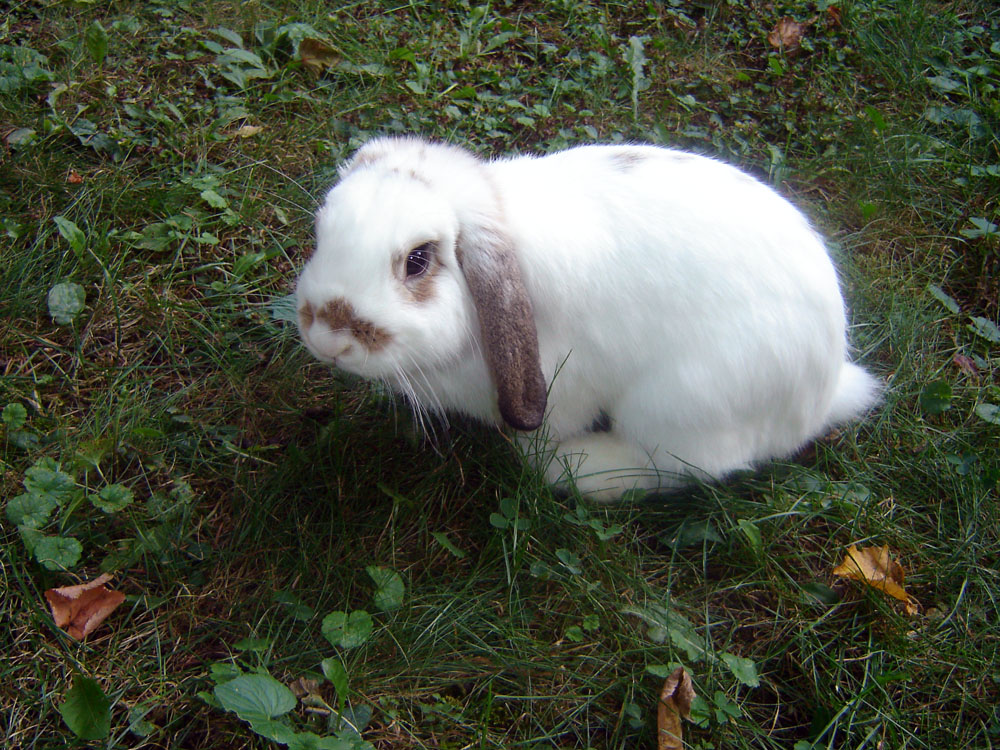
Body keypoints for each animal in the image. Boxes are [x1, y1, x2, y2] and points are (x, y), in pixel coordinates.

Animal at [295, 136, 881, 502]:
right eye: (322, 230)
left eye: (417, 260)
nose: (326, 341)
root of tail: (820, 395)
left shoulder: (564, 384)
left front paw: (534, 453)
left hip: (677, 404)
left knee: (680, 467)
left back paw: (575, 468)